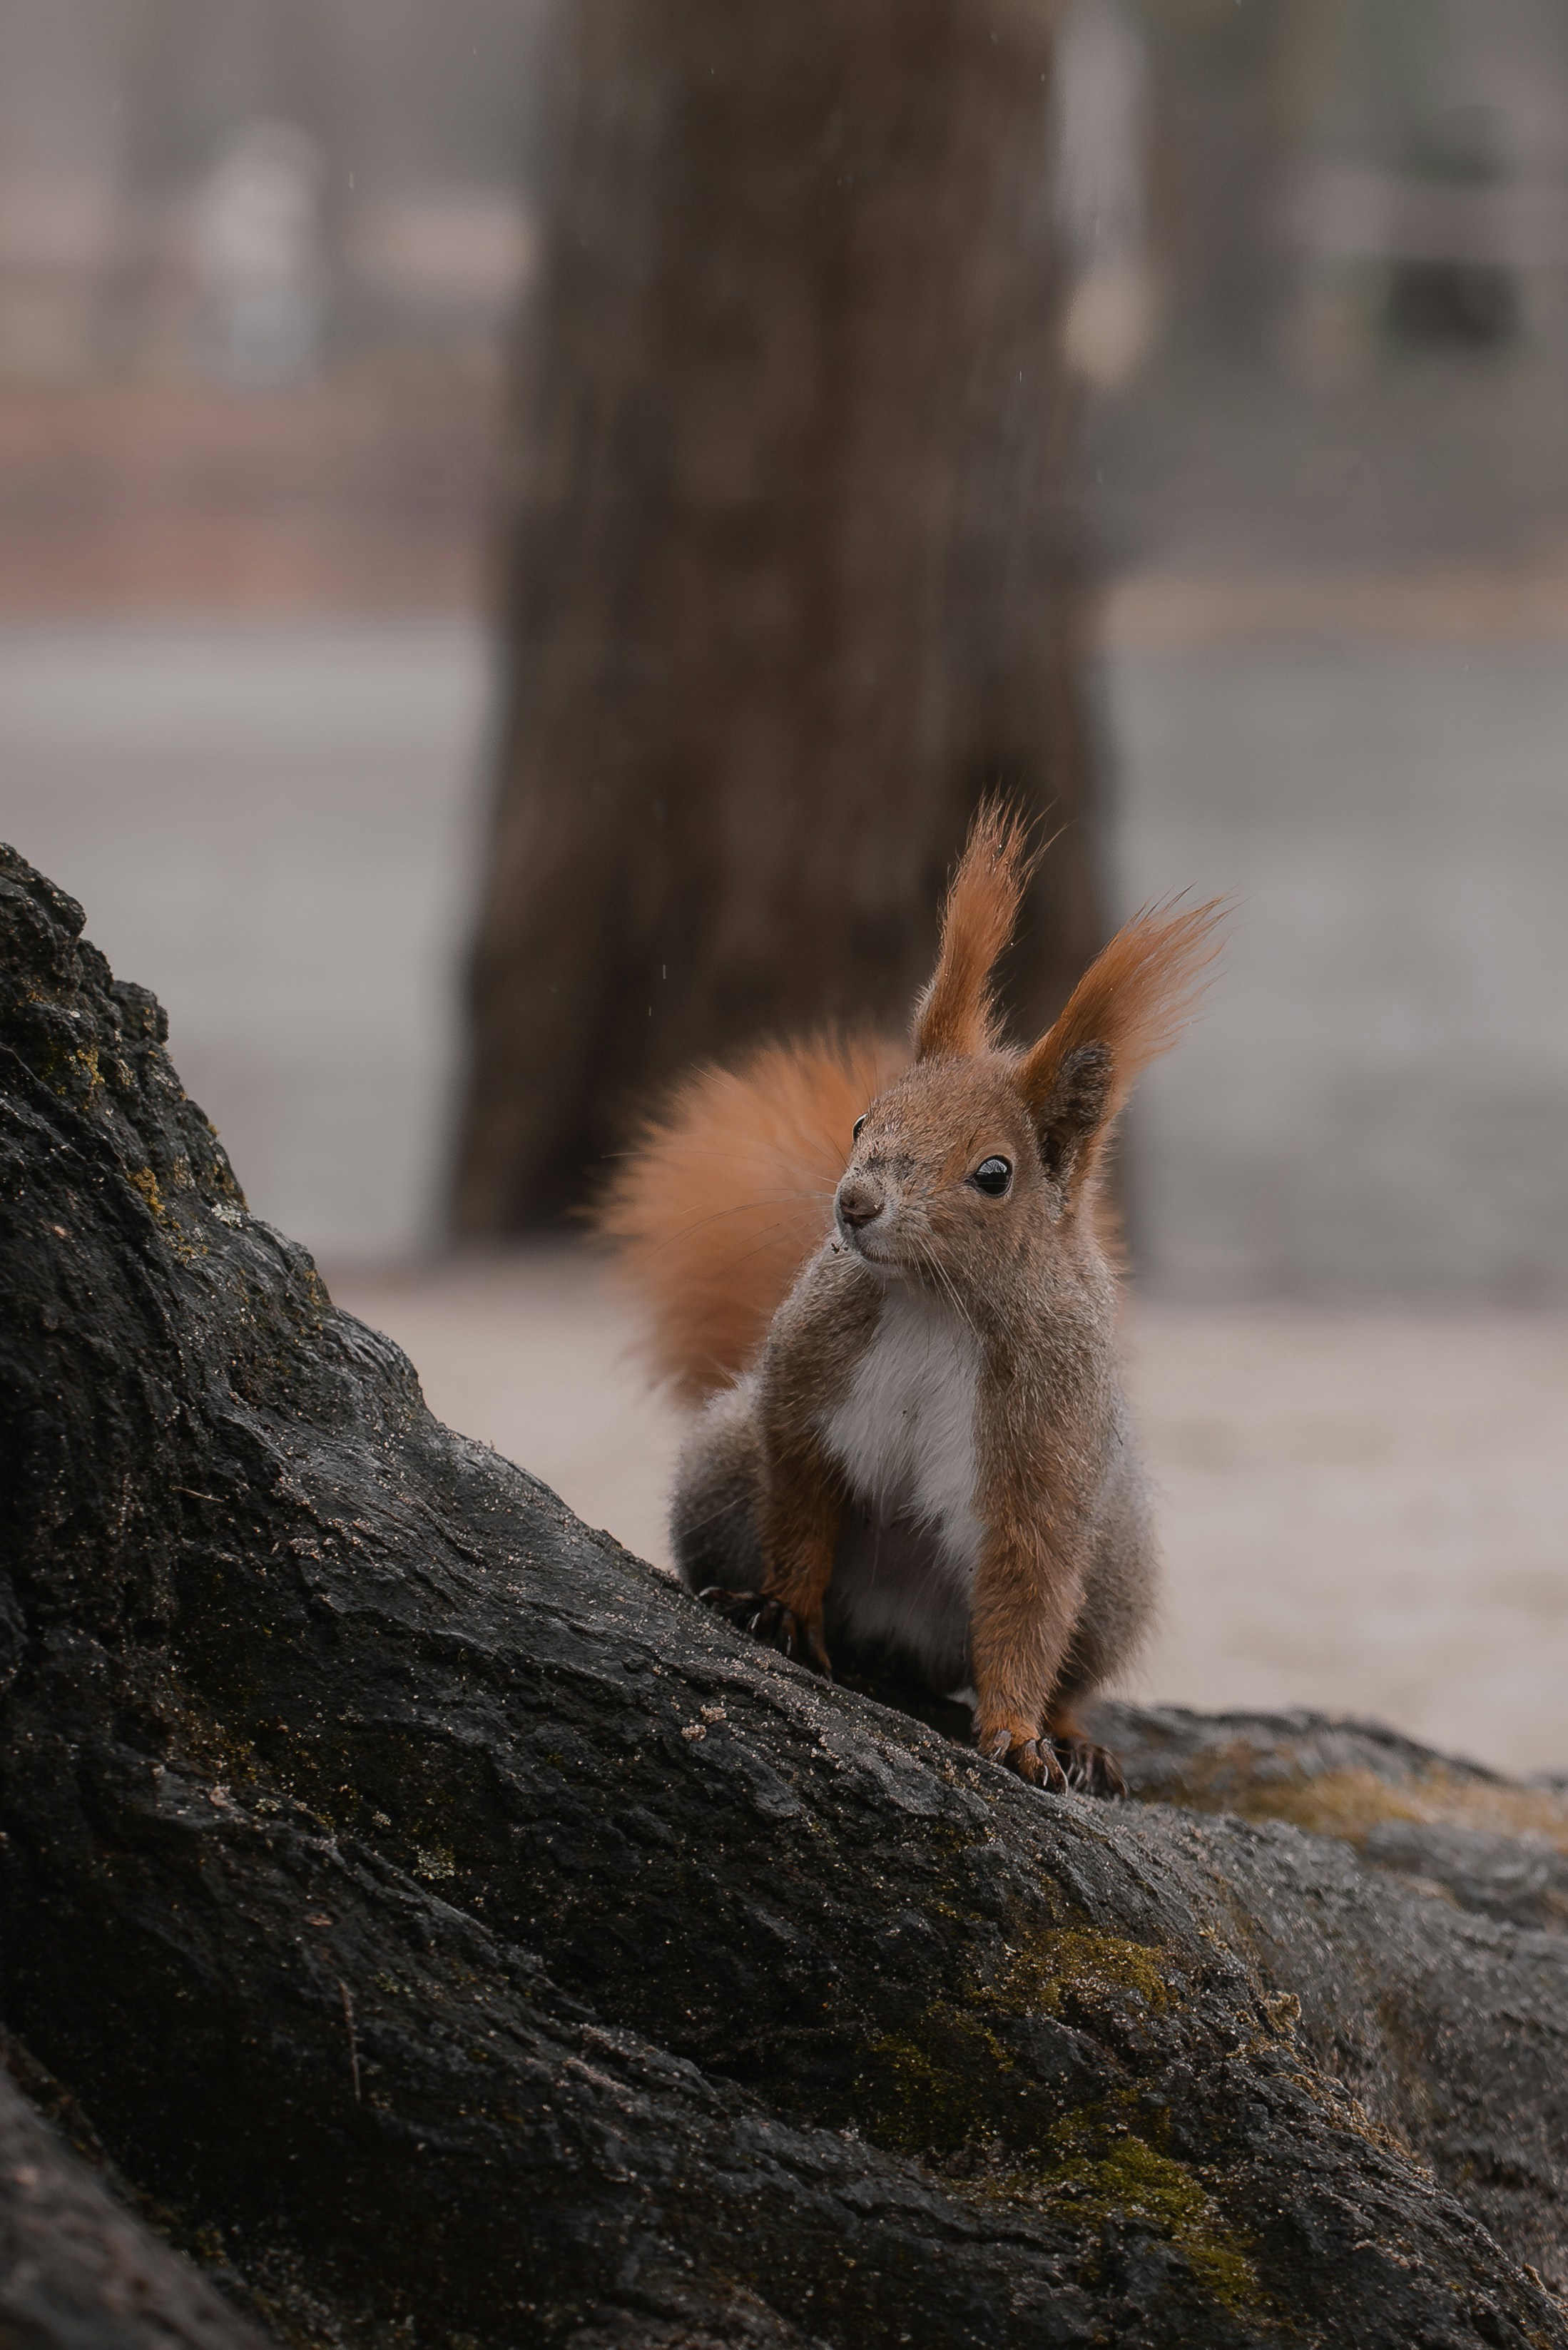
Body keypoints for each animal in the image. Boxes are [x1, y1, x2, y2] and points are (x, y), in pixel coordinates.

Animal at [601, 807, 1222, 1795]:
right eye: (862, 1121)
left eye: (993, 1174)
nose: (853, 1204)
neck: (934, 1302)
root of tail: (900, 1643)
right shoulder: (806, 1400)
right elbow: (802, 1512)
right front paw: (784, 1611)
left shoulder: (1044, 1452)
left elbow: (1026, 1601)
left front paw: (1016, 1735)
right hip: (720, 1466)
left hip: (1117, 1567)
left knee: (1068, 1664)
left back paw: (1076, 1740)